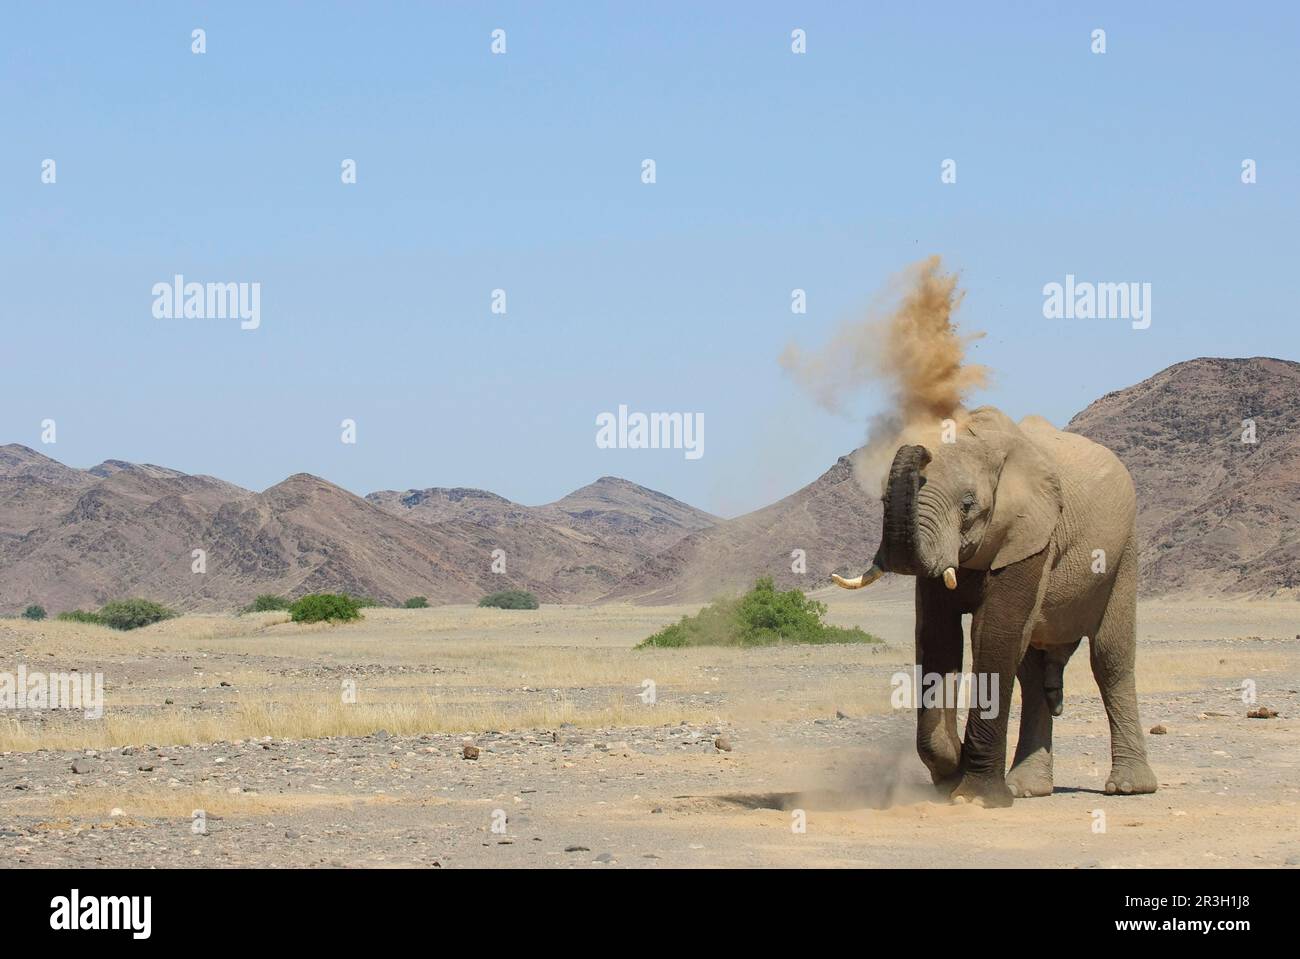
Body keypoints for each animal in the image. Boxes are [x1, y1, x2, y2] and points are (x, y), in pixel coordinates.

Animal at [833, 406, 1156, 807]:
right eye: (880, 500)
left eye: (968, 504)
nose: (920, 450)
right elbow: (938, 638)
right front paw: (951, 772)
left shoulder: (1031, 534)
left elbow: (991, 633)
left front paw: (975, 797)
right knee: (1032, 673)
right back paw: (1027, 788)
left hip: (1124, 552)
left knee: (1111, 659)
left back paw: (1129, 787)